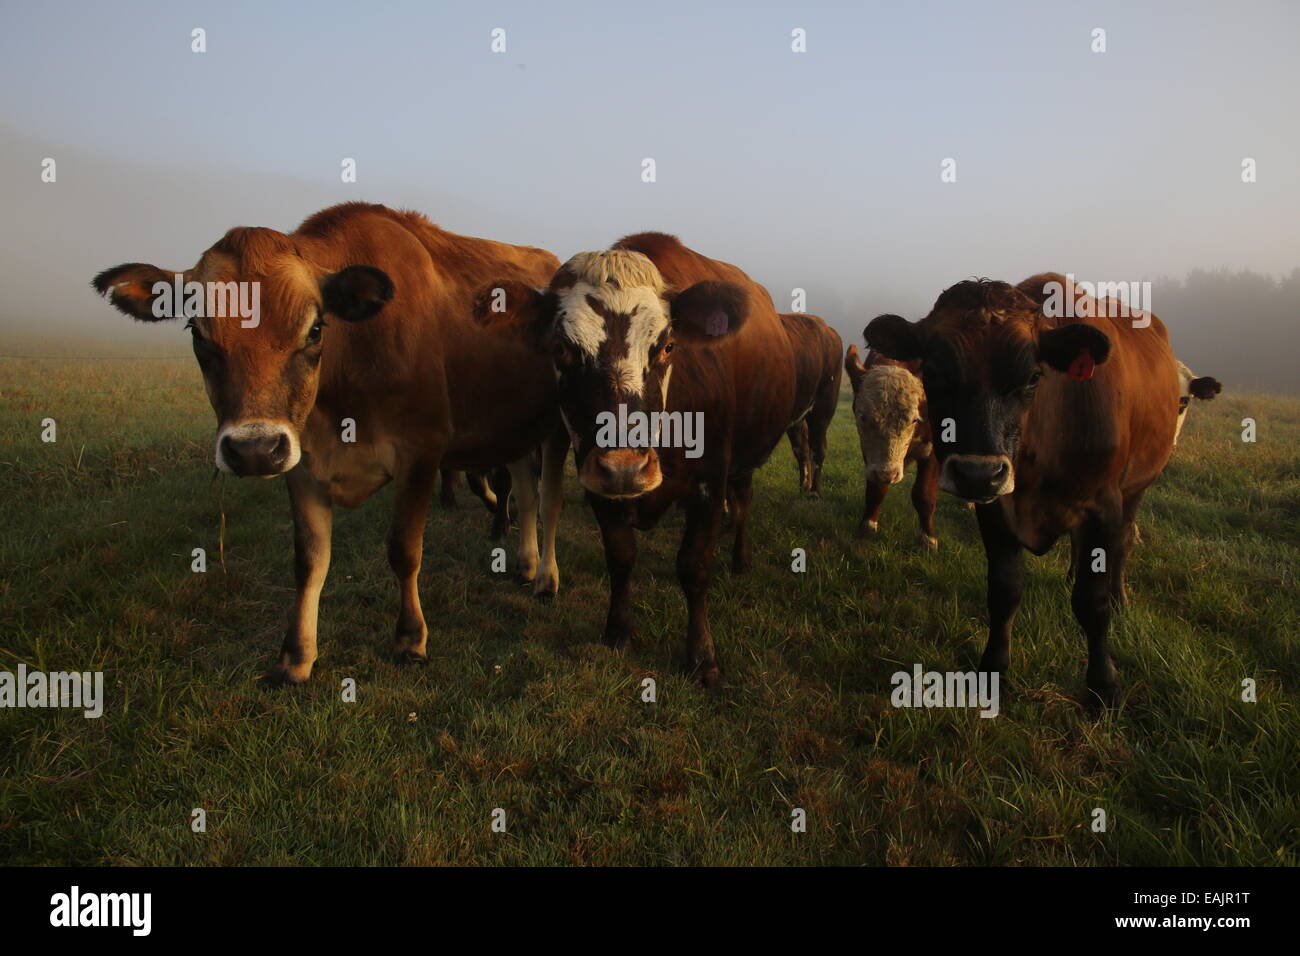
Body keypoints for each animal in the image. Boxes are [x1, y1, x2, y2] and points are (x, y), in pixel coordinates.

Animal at [92, 202, 568, 685]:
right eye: (196, 332)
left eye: (316, 329)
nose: (253, 451)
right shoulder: (300, 462)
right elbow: (309, 560)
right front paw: (296, 656)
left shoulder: (422, 450)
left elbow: (404, 550)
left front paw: (410, 640)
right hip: (515, 430)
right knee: (525, 491)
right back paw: (526, 564)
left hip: (556, 429)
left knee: (547, 500)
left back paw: (546, 578)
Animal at [475, 233, 800, 687]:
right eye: (560, 348)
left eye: (667, 346)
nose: (626, 466)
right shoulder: (599, 484)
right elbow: (621, 558)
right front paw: (618, 631)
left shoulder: (711, 480)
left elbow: (694, 567)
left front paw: (701, 656)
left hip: (744, 461)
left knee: (742, 502)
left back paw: (739, 557)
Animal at [779, 312, 844, 497]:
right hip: (797, 416)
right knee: (802, 448)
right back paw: (804, 487)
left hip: (823, 409)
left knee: (818, 448)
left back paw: (815, 492)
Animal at [843, 344, 939, 548]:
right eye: (863, 417)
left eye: (914, 420)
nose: (888, 474)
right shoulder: (871, 456)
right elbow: (876, 489)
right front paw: (868, 526)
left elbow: (924, 494)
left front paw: (928, 538)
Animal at [865, 272, 1181, 703]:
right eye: (932, 373)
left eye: (1033, 376)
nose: (977, 474)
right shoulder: (996, 508)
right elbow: (1005, 590)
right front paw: (993, 669)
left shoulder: (1103, 507)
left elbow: (1093, 602)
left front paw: (1104, 682)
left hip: (1137, 487)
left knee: (1124, 542)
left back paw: (1120, 595)